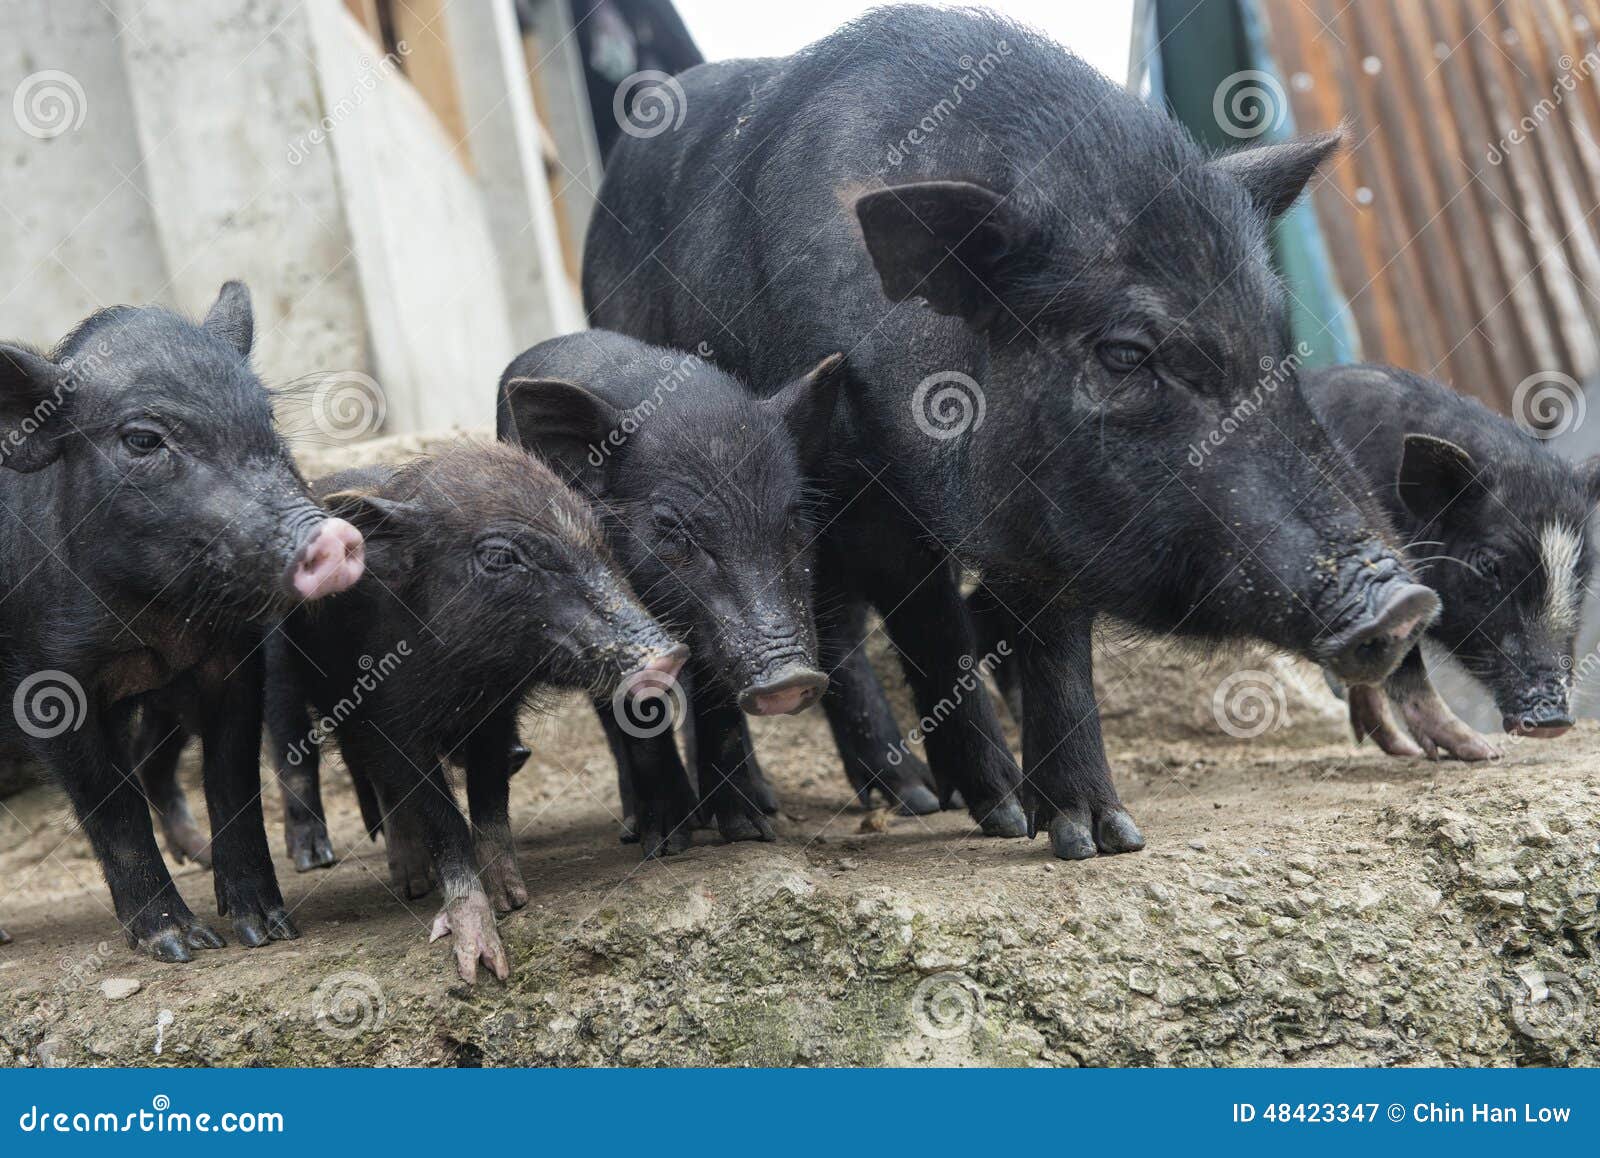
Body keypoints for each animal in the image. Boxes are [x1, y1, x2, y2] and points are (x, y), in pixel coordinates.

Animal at [0, 283, 365, 960]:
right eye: (143, 440)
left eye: (266, 418)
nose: (333, 536)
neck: (156, 625)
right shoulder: (44, 681)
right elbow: (110, 808)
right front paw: (179, 944)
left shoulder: (233, 660)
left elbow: (231, 779)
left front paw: (265, 930)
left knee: (154, 760)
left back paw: (197, 855)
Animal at [266, 441, 684, 981]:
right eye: (500, 557)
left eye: (598, 541)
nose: (671, 653)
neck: (460, 675)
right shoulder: (386, 724)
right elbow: (439, 816)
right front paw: (482, 967)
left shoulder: (496, 715)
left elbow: (489, 799)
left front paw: (513, 900)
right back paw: (408, 883)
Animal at [495, 330, 873, 857]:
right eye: (672, 529)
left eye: (795, 517)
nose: (792, 677)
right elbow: (639, 715)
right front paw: (668, 843)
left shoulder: (715, 634)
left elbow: (718, 710)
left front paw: (749, 832)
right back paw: (635, 827)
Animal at [582, 5, 1438, 859]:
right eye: (1124, 353)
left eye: (1275, 338)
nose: (1404, 601)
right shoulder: (865, 490)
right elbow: (931, 625)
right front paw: (1002, 814)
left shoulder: (1047, 523)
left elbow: (1053, 639)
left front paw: (1098, 836)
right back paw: (745, 819)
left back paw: (909, 797)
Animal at [1301, 363, 1599, 757]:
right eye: (1487, 565)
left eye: (1582, 573)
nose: (1553, 721)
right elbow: (1403, 662)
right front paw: (1480, 752)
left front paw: (1404, 750)